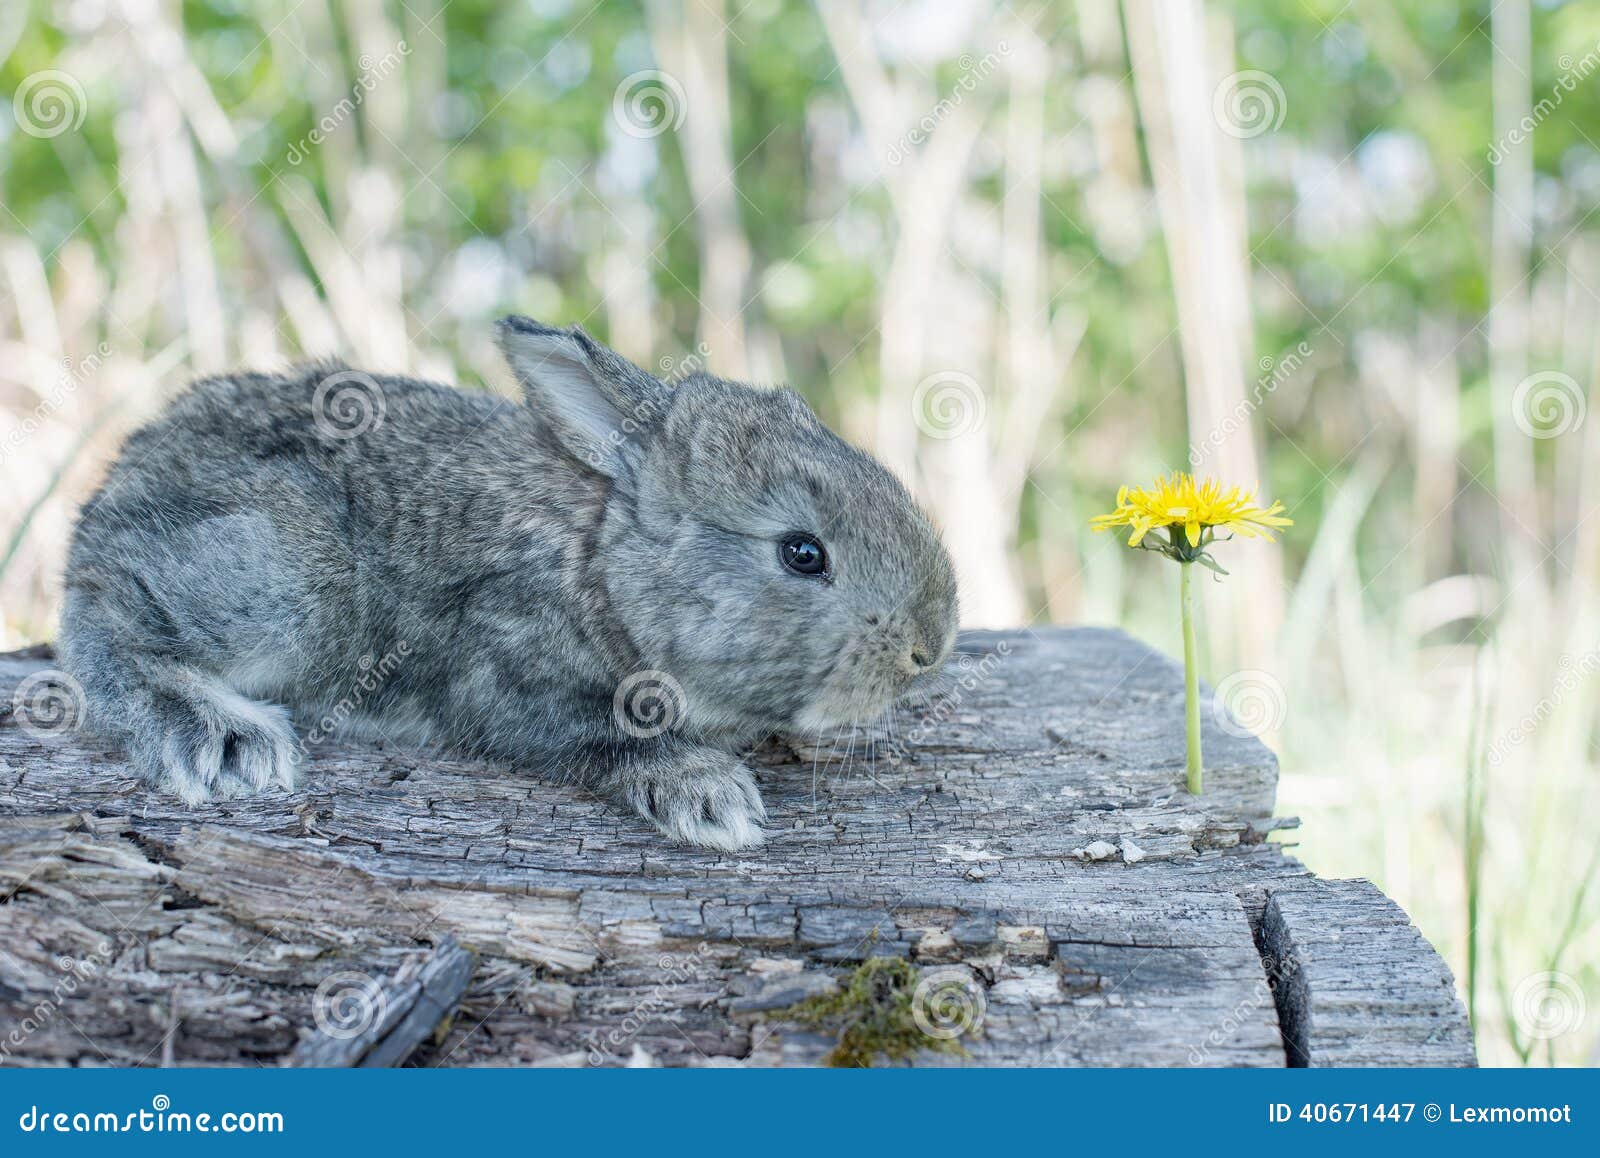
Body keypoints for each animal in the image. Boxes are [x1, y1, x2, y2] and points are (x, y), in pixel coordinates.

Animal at [57, 317, 959, 850]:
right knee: (103, 614)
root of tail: (118, 488)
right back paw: (221, 737)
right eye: (803, 553)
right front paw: (710, 798)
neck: (603, 568)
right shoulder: (502, 667)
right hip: (292, 585)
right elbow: (599, 735)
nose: (932, 643)